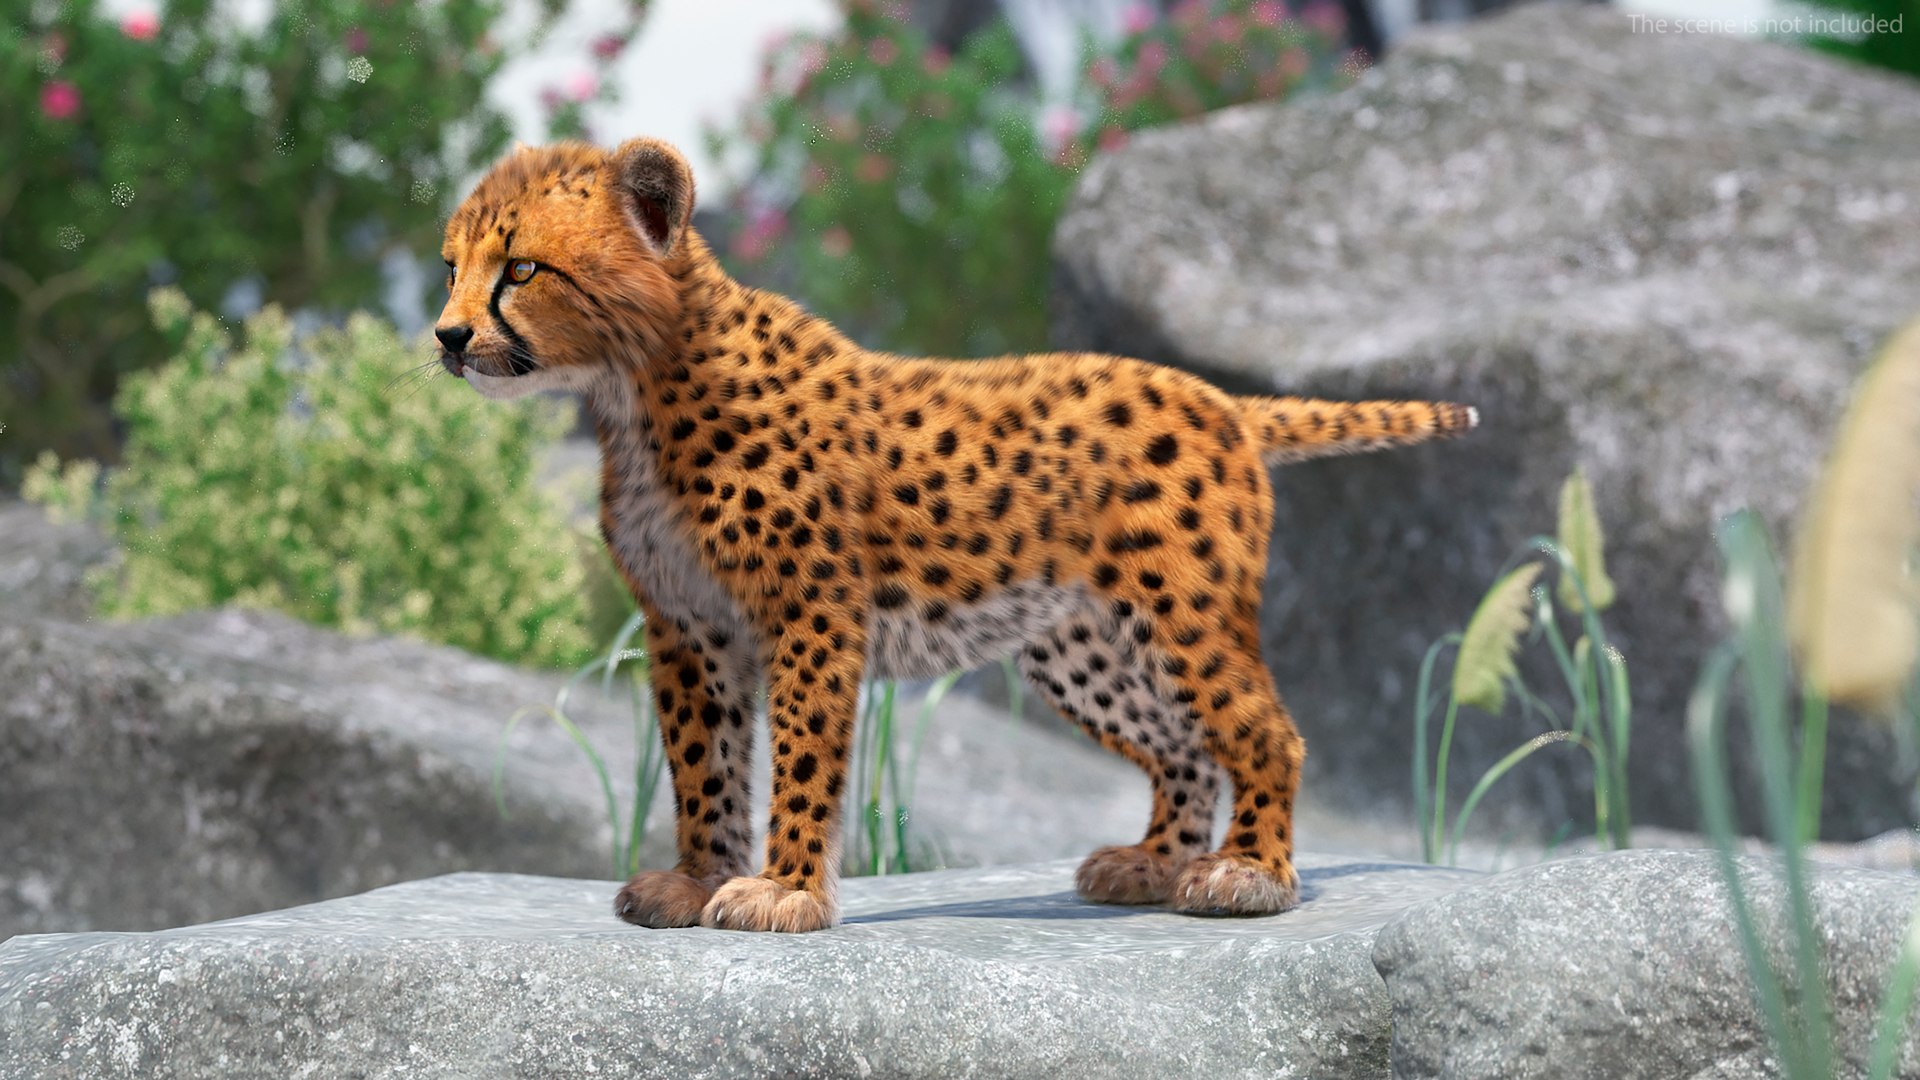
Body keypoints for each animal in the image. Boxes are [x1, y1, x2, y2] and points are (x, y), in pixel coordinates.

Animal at [432, 136, 1478, 933]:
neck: (636, 388)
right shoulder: (689, 629)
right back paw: (1152, 865)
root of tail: (1218, 397)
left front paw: (784, 891)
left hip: (1182, 616)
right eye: (453, 267)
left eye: (520, 268)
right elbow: (704, 765)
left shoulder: (811, 617)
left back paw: (1249, 873)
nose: (446, 336)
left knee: (1265, 733)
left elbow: (800, 758)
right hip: (1085, 649)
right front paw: (696, 881)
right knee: (1183, 747)